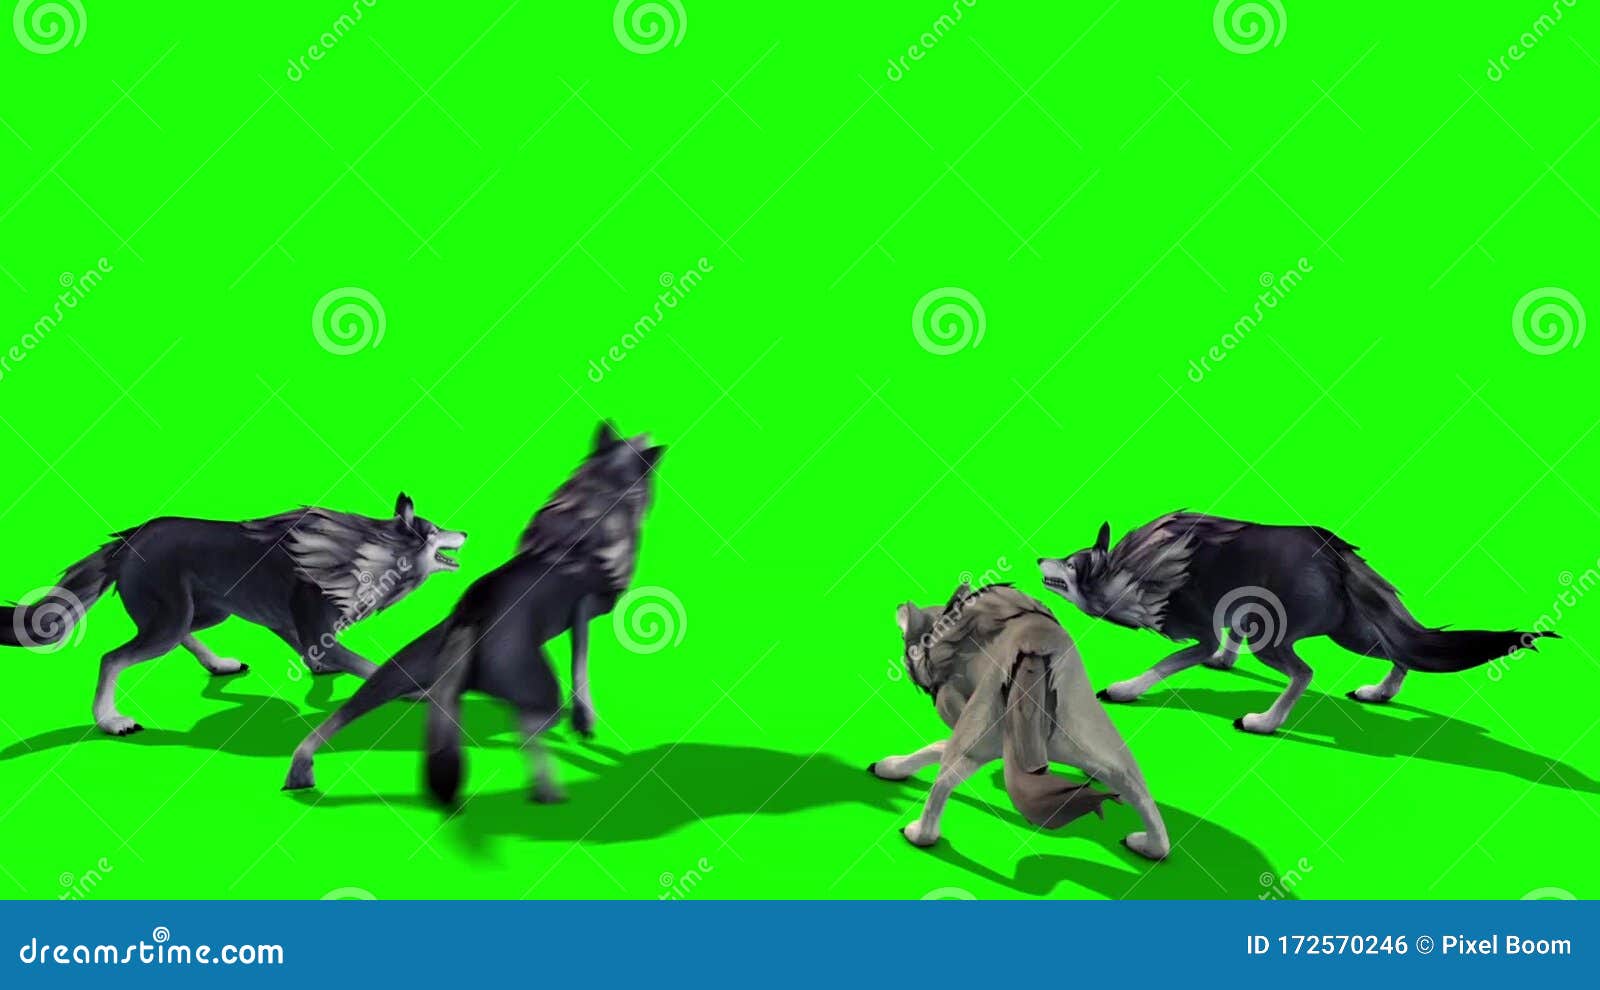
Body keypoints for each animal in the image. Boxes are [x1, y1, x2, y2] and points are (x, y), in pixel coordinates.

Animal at [0, 494, 466, 736]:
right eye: (436, 529)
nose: (464, 530)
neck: (363, 552)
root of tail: (128, 540)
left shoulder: (294, 627)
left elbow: (318, 657)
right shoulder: (313, 626)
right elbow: (372, 666)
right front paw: (417, 689)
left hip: (204, 611)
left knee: (186, 636)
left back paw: (219, 663)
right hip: (168, 619)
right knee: (112, 658)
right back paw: (111, 720)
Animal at [283, 421, 664, 804]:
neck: (603, 494)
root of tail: (472, 614)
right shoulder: (590, 604)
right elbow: (580, 656)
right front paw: (584, 719)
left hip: (400, 672)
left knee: (349, 710)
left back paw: (300, 768)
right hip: (539, 687)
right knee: (528, 725)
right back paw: (547, 791)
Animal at [871, 582, 1169, 860]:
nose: (899, 605)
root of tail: (1035, 644)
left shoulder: (964, 720)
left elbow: (937, 747)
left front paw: (891, 766)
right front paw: (895, 766)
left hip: (975, 731)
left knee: (943, 784)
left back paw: (920, 833)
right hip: (1093, 735)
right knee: (1135, 786)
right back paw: (1149, 845)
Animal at [1038, 512, 1556, 734]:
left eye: (1070, 563)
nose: (1040, 557)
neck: (1135, 571)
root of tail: (1337, 556)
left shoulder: (1198, 629)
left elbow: (1169, 661)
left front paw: (1126, 689)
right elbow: (1225, 638)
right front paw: (1225, 660)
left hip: (1284, 636)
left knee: (1305, 673)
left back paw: (1265, 722)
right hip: (1352, 629)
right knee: (1399, 651)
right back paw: (1380, 693)